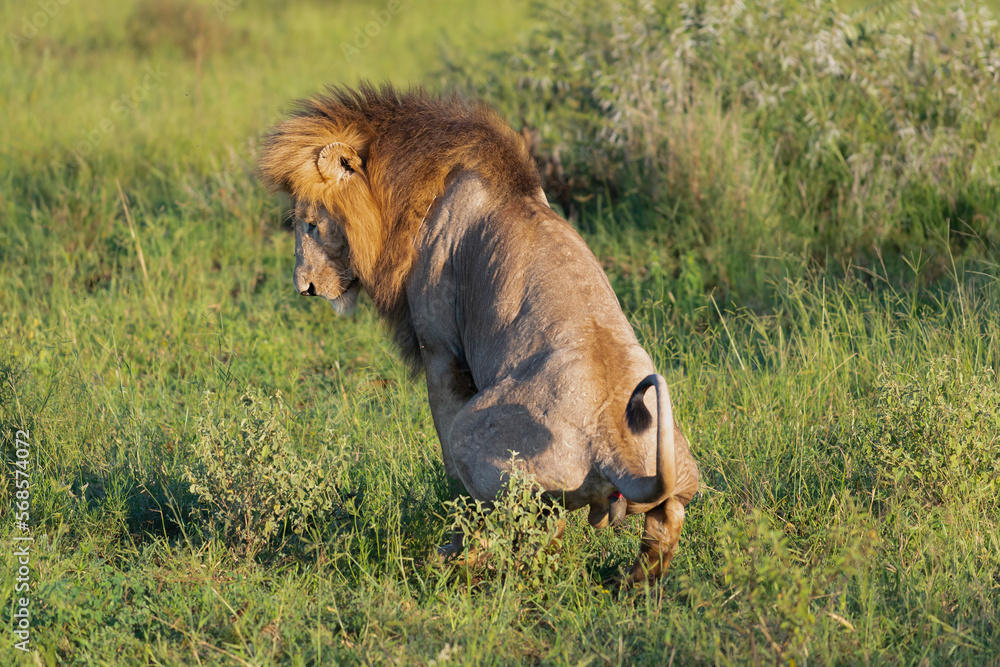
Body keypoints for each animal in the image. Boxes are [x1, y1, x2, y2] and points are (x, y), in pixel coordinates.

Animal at [258, 83, 699, 584]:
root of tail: (612, 446)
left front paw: (452, 536)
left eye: (311, 224)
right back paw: (630, 582)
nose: (304, 287)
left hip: (480, 435)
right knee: (664, 519)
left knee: (527, 522)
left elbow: (448, 462)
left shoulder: (440, 351)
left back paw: (454, 561)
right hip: (680, 464)